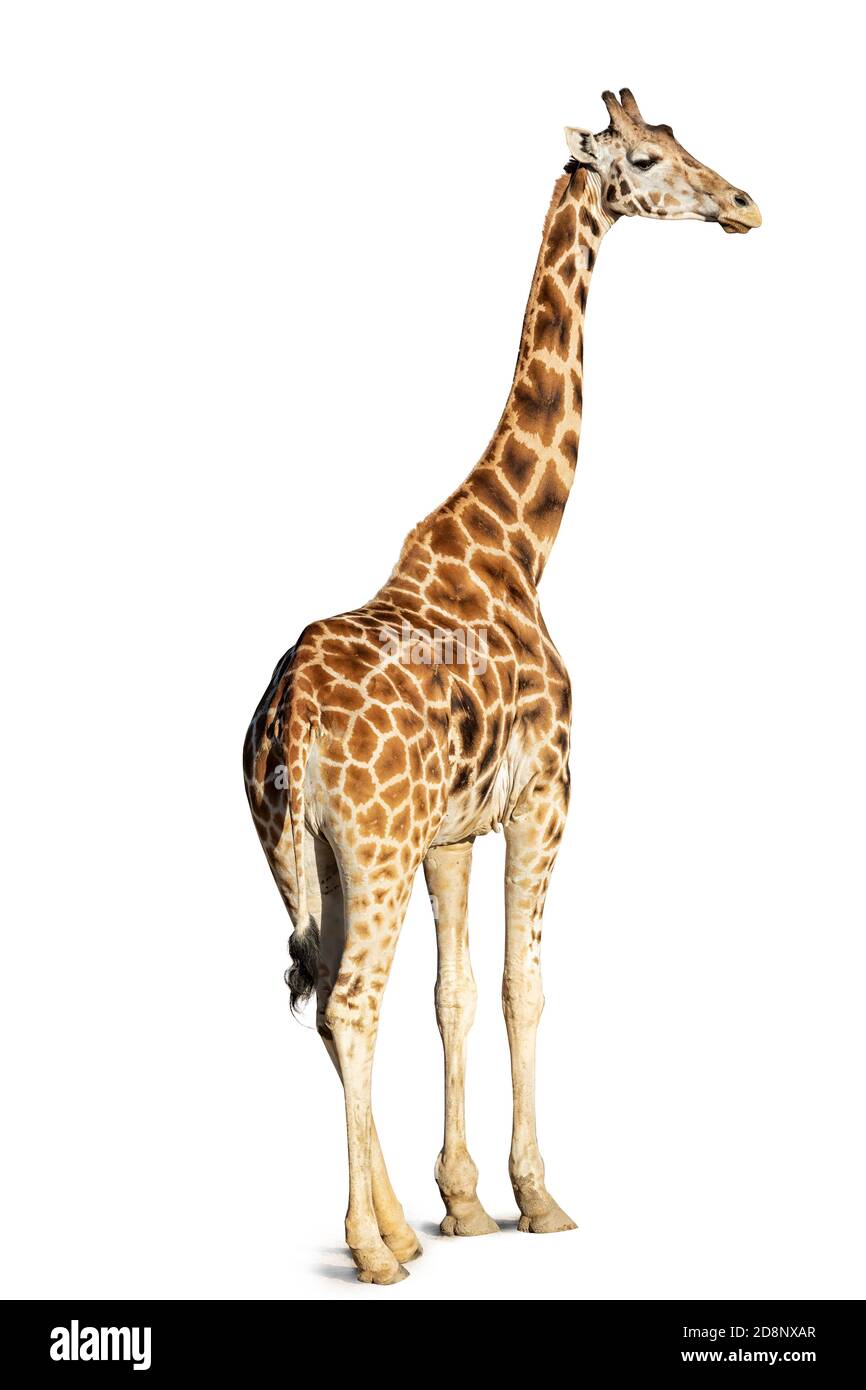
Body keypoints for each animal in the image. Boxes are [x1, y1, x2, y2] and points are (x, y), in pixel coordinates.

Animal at [243, 89, 760, 1284]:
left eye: (676, 139)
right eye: (644, 159)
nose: (743, 203)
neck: (520, 544)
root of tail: (288, 715)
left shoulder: (448, 834)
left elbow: (456, 994)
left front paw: (466, 1205)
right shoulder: (545, 798)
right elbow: (526, 987)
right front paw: (540, 1199)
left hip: (304, 855)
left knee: (330, 1004)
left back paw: (395, 1231)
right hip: (369, 846)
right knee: (350, 1002)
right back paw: (375, 1250)